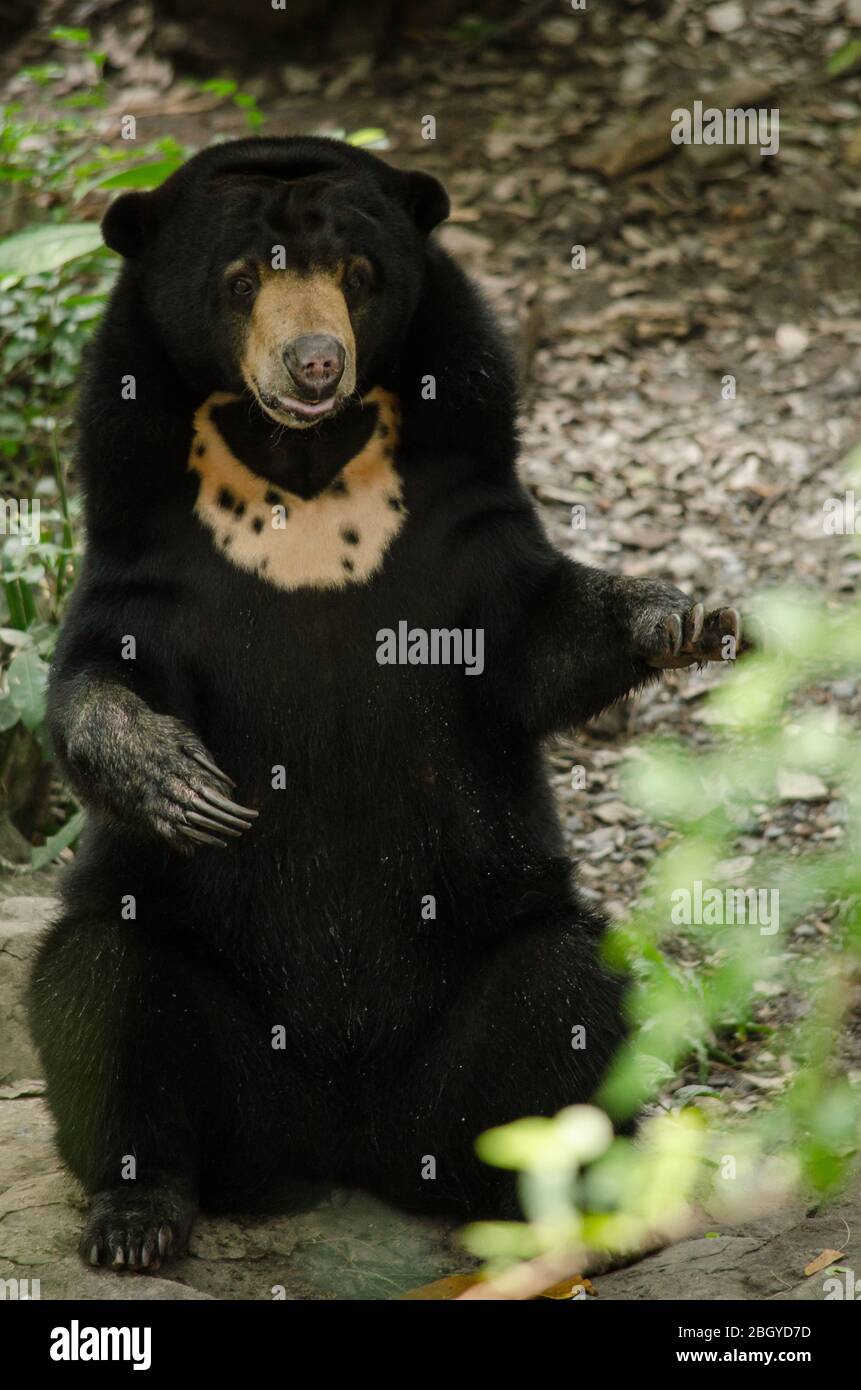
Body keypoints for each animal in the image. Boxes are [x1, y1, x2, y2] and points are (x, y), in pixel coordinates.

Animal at [27, 135, 741, 1271]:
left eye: (357, 275)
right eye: (240, 282)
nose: (315, 364)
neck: (305, 466)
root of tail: (346, 1139)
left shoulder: (460, 495)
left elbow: (528, 635)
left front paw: (684, 613)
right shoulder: (140, 523)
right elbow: (98, 671)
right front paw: (182, 782)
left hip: (480, 1009)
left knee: (568, 985)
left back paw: (573, 1207)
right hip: (209, 1037)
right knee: (100, 980)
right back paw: (140, 1216)